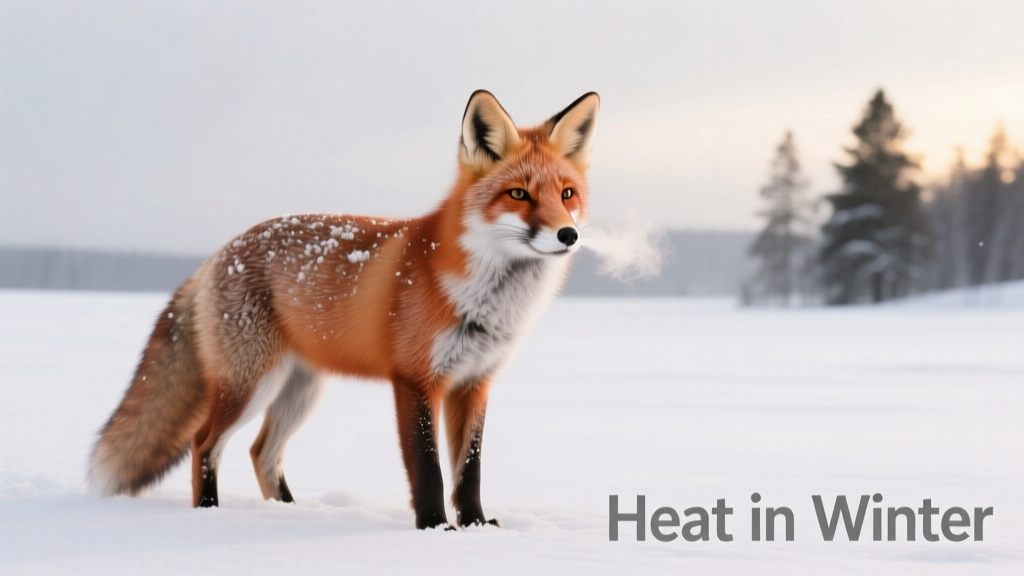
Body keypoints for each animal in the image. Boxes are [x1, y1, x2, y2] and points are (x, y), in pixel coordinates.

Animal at [88, 90, 600, 529]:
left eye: (567, 194)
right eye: (519, 194)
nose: (568, 235)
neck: (485, 302)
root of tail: (218, 253)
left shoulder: (474, 383)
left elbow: (468, 471)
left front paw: (475, 526)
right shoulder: (415, 379)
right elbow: (429, 468)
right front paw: (435, 529)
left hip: (301, 390)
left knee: (261, 452)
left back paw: (288, 513)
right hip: (251, 385)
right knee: (205, 443)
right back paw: (208, 514)